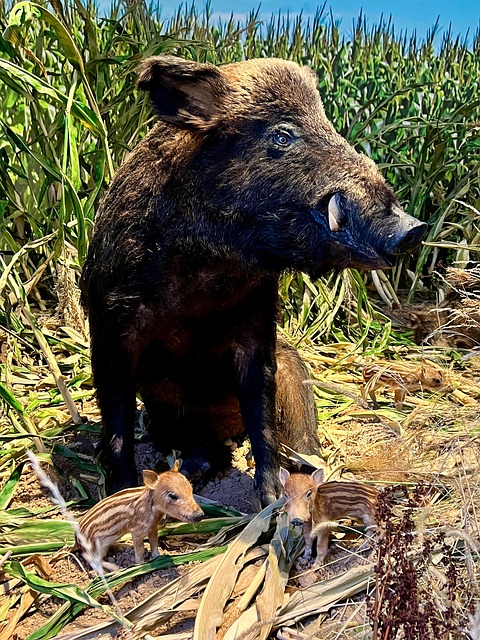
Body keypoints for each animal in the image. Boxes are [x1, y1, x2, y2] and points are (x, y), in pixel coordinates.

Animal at [80, 56, 427, 506]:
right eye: (282, 134)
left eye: (327, 121)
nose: (414, 228)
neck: (207, 273)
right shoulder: (111, 326)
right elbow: (117, 424)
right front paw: (118, 497)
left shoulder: (259, 321)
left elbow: (262, 417)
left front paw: (270, 502)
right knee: (205, 449)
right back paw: (189, 474)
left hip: (295, 375)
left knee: (293, 442)